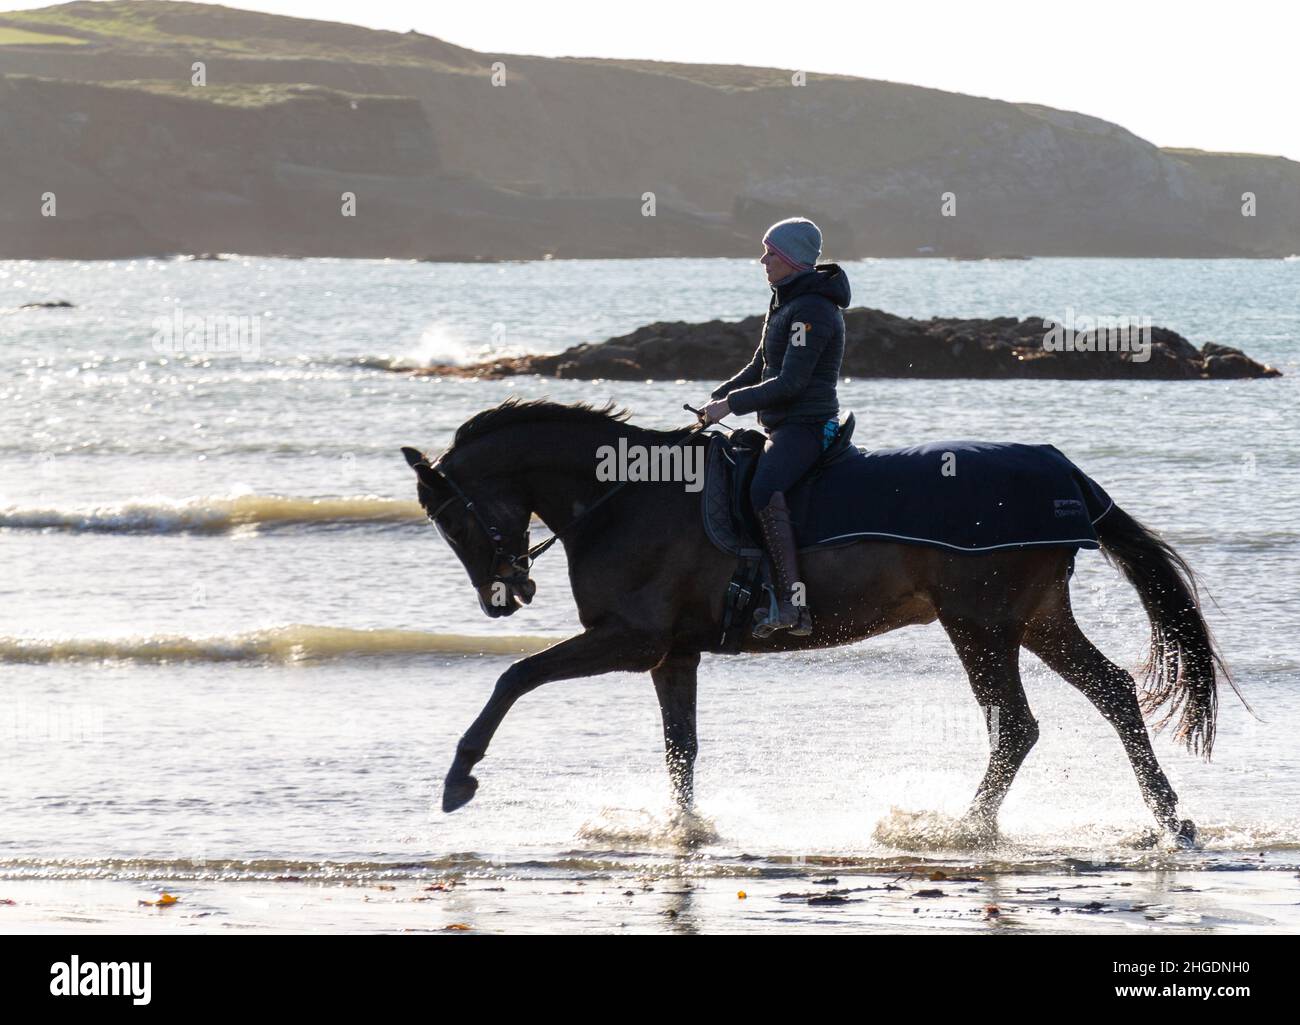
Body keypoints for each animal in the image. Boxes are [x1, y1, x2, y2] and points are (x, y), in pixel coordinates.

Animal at [401, 398, 1238, 846]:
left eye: (455, 519)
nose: (505, 596)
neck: (627, 496)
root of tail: (1065, 474)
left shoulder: (630, 639)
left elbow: (516, 675)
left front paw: (459, 776)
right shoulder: (673, 654)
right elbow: (680, 747)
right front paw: (682, 829)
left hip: (978, 623)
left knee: (1015, 724)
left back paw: (960, 827)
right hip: (1034, 620)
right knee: (1114, 692)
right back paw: (1169, 817)